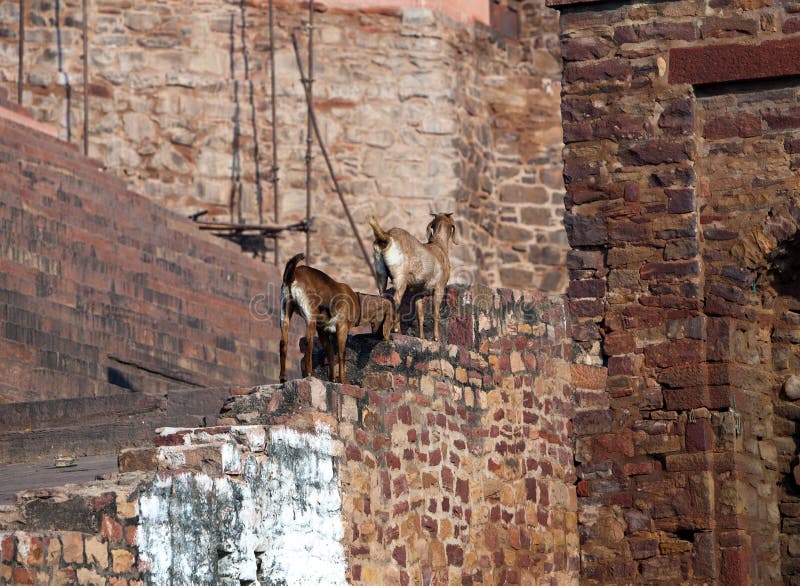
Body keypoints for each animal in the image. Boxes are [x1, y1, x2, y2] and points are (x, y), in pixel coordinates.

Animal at [279, 254, 393, 384]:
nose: (387, 337)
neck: (357, 302)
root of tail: (294, 274)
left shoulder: (323, 331)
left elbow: (330, 353)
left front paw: (332, 378)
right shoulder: (342, 328)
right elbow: (341, 354)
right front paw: (343, 380)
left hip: (285, 311)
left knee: (283, 343)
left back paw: (283, 377)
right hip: (310, 316)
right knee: (309, 343)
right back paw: (310, 374)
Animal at [368, 213, 457, 342]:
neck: (438, 247)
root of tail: (386, 237)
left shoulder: (418, 294)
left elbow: (420, 316)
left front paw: (422, 337)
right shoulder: (439, 288)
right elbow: (436, 313)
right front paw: (436, 338)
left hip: (381, 276)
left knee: (382, 298)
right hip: (400, 278)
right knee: (396, 299)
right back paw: (396, 329)